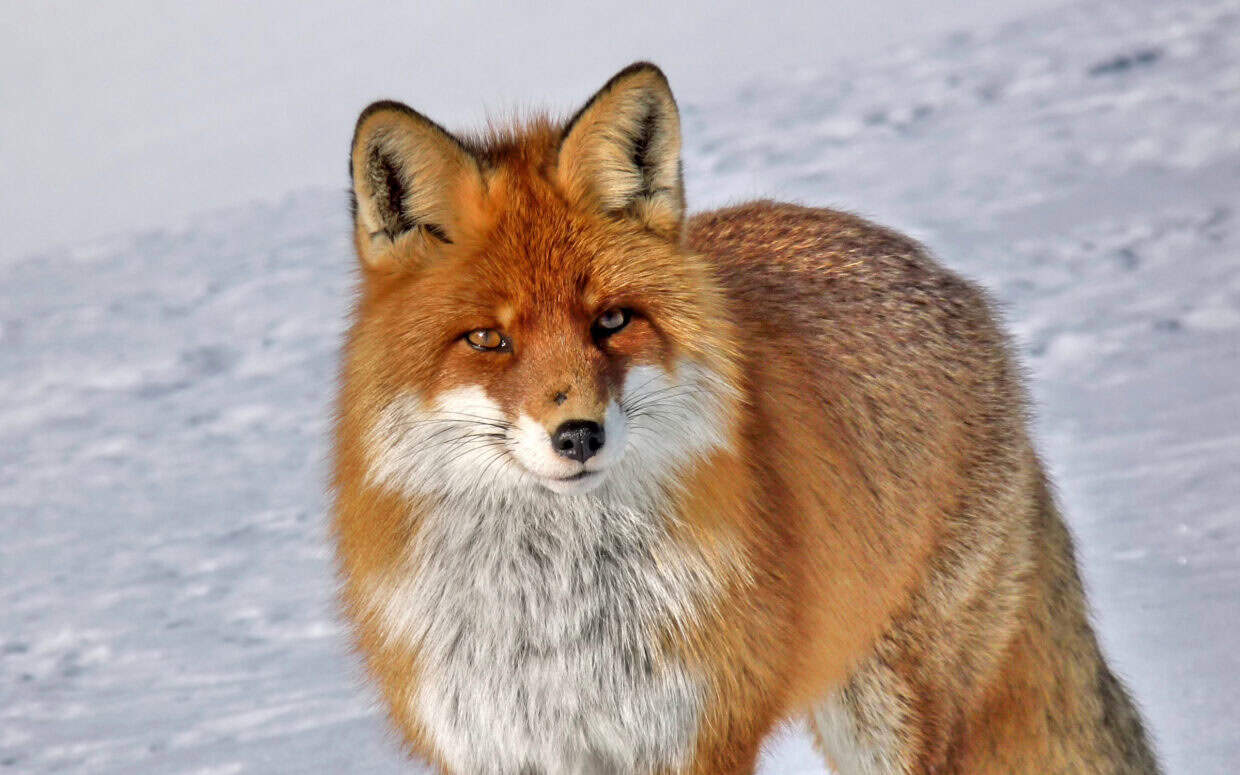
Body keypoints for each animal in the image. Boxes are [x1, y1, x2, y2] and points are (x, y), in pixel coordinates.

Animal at [331, 62, 1160, 774]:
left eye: (612, 321)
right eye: (488, 339)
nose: (579, 435)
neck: (558, 620)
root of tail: (939, 270)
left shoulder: (698, 733)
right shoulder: (499, 745)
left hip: (886, 710)